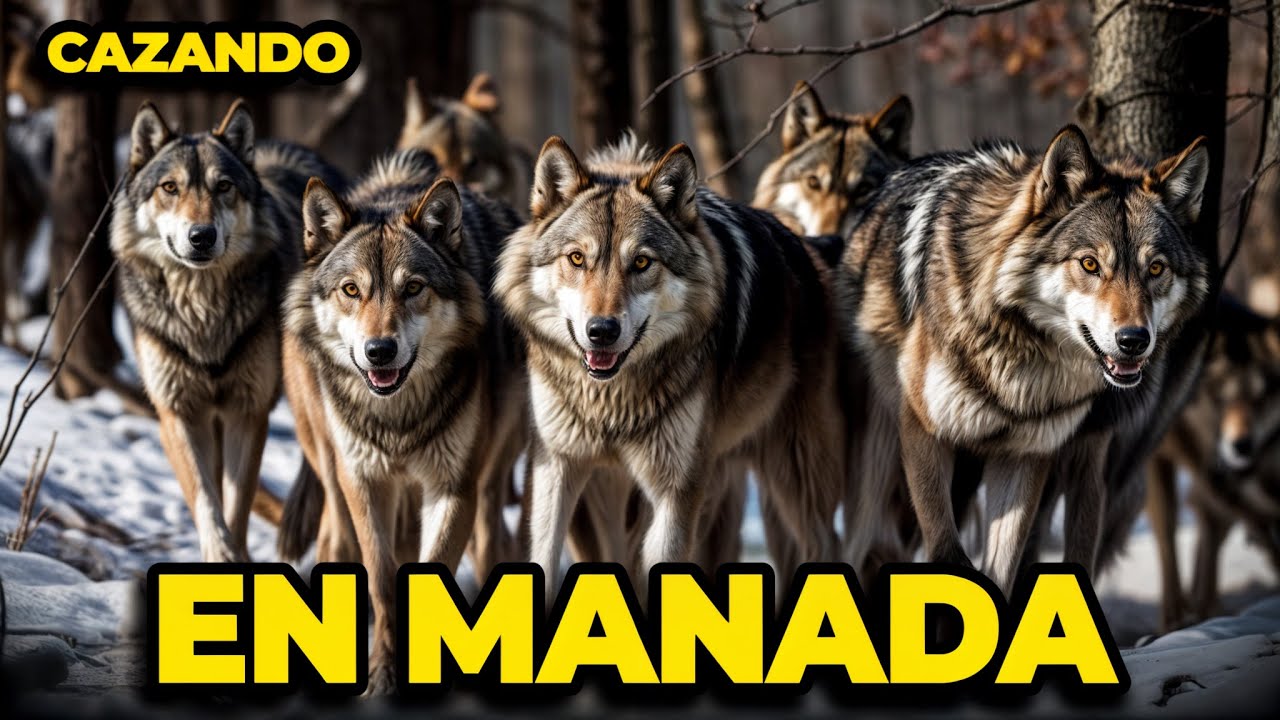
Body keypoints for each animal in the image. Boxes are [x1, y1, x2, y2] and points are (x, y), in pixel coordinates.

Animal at [111, 99, 342, 563]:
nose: (201, 236)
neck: (203, 315)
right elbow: (207, 500)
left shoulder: (246, 410)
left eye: (223, 187)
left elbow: (236, 507)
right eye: (170, 187)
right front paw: (220, 556)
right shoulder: (179, 411)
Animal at [281, 149, 522, 693]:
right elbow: (383, 583)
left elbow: (431, 570)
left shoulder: (454, 487)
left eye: (413, 288)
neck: (398, 418)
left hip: (490, 479)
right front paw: (384, 675)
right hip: (332, 469)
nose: (379, 350)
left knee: (492, 544)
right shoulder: (366, 481)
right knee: (334, 540)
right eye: (352, 290)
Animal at [495, 134, 845, 594]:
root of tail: (808, 249)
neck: (611, 405)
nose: (601, 330)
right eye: (576, 258)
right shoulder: (555, 469)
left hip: (791, 476)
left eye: (642, 262)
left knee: (824, 543)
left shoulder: (675, 490)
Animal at [839, 125, 1210, 594]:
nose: (1133, 340)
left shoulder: (1025, 456)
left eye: (1156, 269)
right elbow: (948, 551)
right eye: (1090, 264)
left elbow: (1001, 569)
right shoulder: (923, 432)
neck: (1021, 362)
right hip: (879, 464)